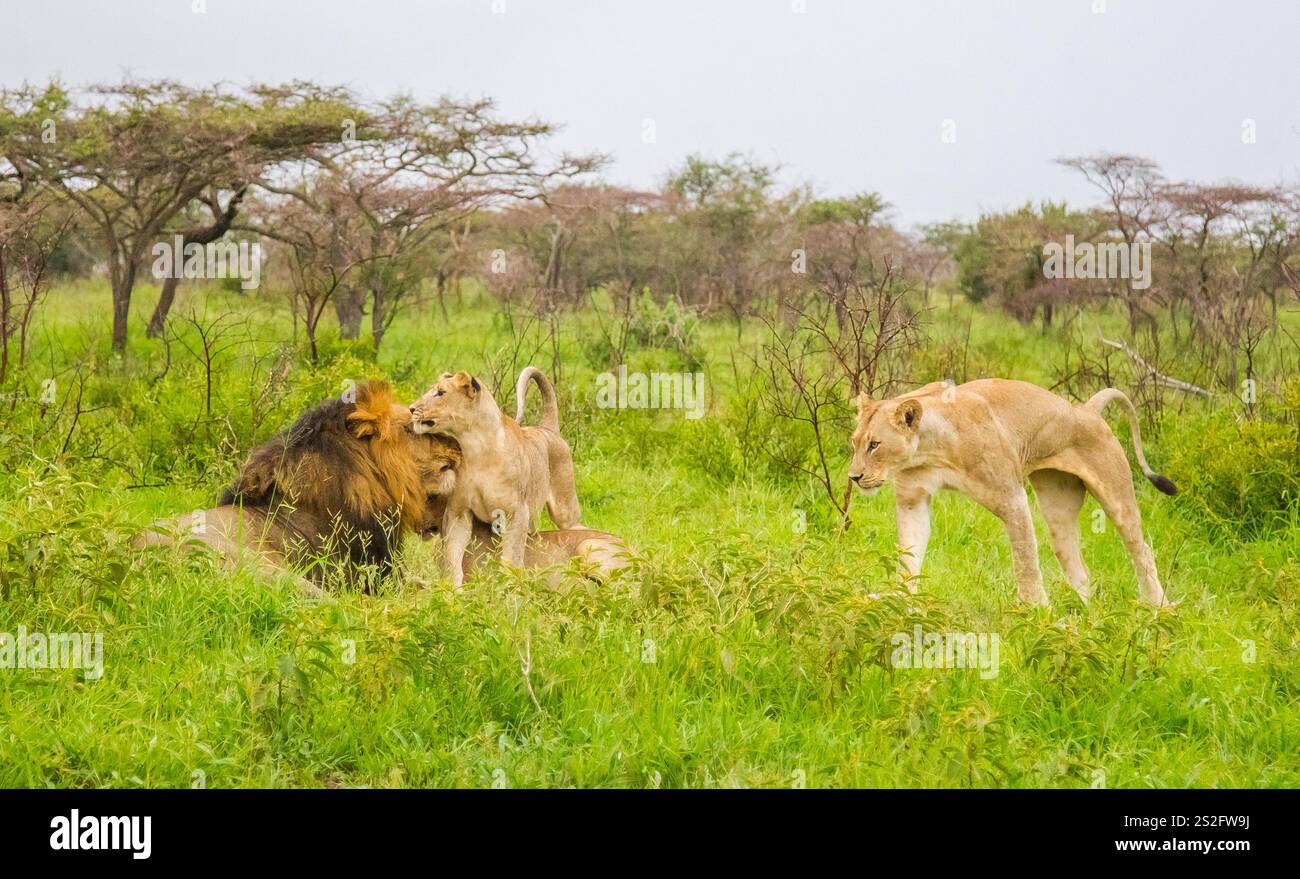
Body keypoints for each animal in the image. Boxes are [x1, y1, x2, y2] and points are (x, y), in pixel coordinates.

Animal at [408, 367, 583, 587]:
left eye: (440, 392)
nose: (411, 409)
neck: (475, 447)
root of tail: (546, 428)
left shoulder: (517, 512)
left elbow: (511, 558)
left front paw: (508, 588)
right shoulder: (458, 512)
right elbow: (453, 558)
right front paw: (454, 590)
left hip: (565, 510)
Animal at [847, 379, 1175, 607]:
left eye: (874, 444)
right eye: (855, 442)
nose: (854, 477)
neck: (930, 448)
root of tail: (1086, 410)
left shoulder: (1011, 497)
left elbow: (1025, 558)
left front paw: (1036, 612)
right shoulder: (912, 499)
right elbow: (909, 554)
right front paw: (900, 600)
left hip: (1116, 495)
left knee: (1142, 552)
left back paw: (1158, 608)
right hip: (1057, 506)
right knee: (1078, 567)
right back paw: (1080, 617)